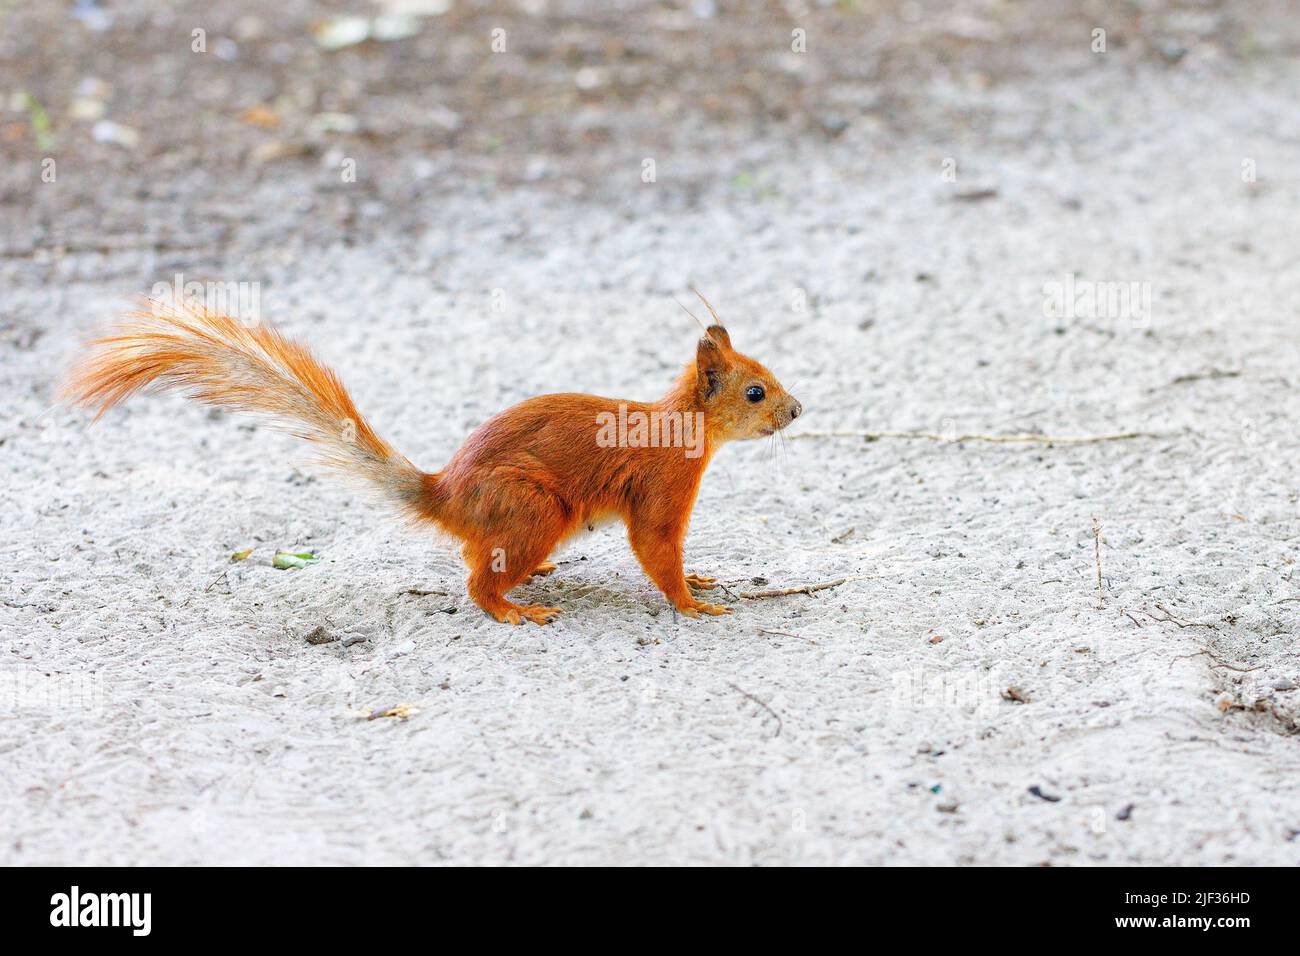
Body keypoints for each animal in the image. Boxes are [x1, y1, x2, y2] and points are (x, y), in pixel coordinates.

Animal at [64, 297, 802, 625]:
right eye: (755, 391)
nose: (797, 411)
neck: (681, 427)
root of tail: (447, 493)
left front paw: (699, 581)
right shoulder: (660, 488)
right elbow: (656, 549)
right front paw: (693, 603)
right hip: (534, 508)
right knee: (476, 584)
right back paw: (515, 610)